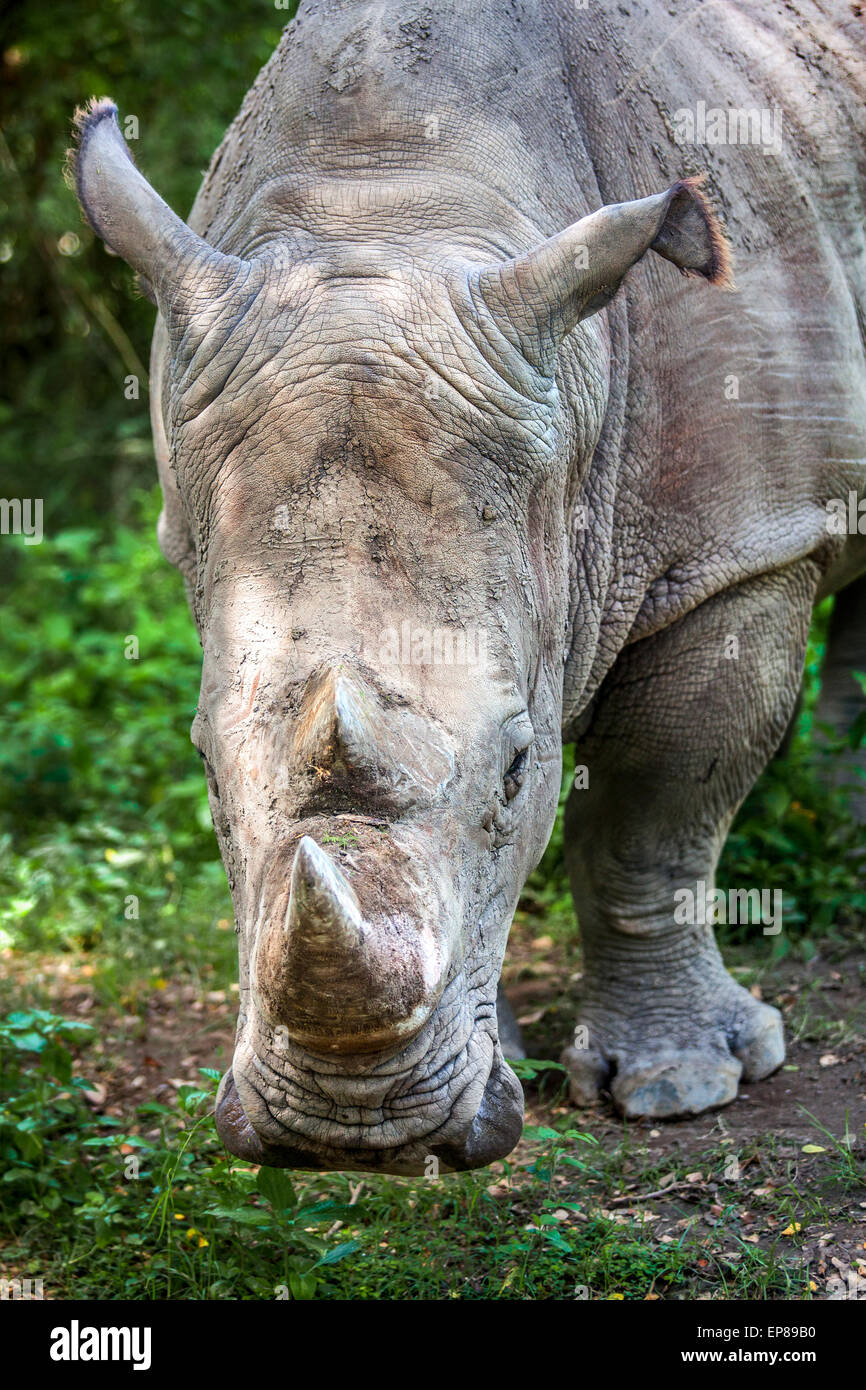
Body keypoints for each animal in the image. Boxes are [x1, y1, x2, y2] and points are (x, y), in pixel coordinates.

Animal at [71, 0, 866, 1173]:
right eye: (205, 771)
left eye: (518, 765)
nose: (351, 1133)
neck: (387, 212)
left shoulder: (740, 549)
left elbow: (658, 801)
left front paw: (680, 1085)